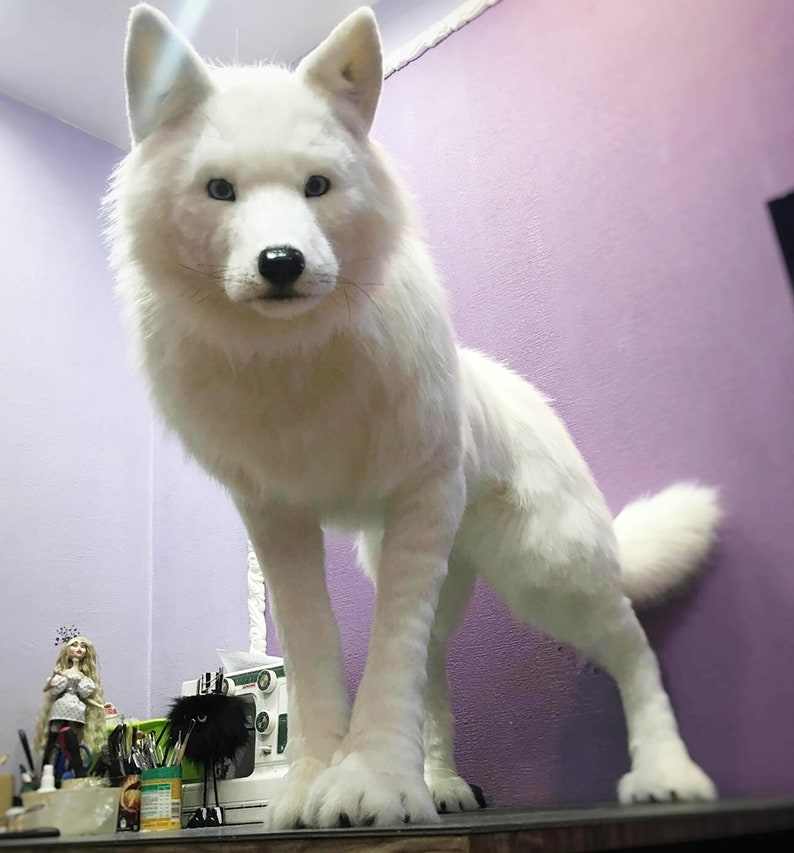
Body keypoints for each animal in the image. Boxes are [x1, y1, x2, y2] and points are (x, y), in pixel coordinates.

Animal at [107, 3, 720, 829]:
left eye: (317, 186)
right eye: (219, 190)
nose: (281, 262)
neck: (294, 361)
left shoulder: (418, 500)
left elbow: (387, 662)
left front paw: (372, 785)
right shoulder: (277, 522)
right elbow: (316, 655)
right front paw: (312, 788)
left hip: (552, 575)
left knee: (634, 648)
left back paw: (668, 773)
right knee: (437, 686)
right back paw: (444, 785)